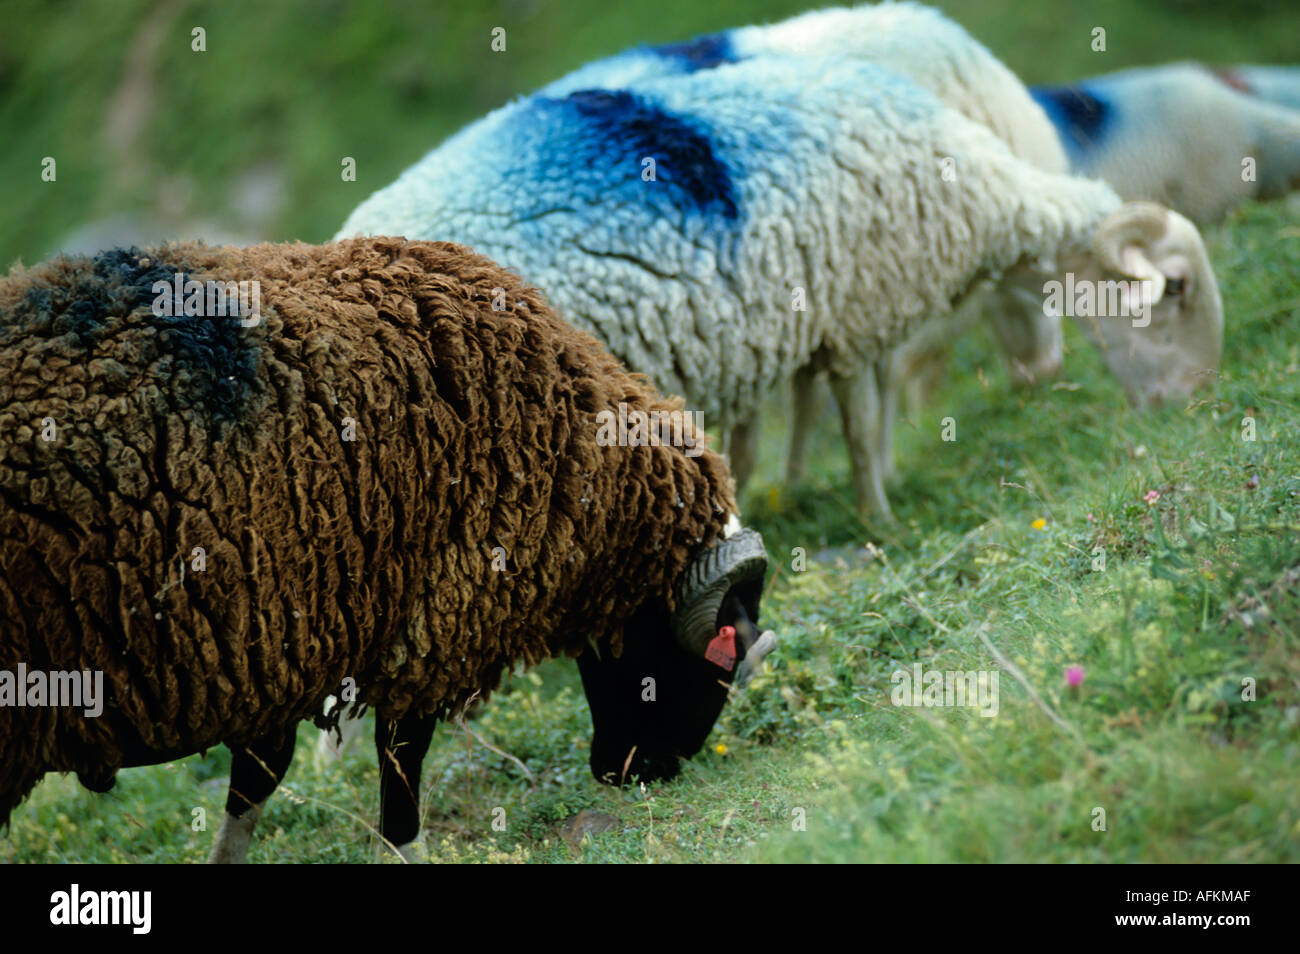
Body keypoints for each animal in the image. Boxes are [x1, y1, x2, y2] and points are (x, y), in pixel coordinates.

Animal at [0, 237, 779, 862]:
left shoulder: (274, 640)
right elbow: (399, 776)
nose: (647, 774)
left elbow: (258, 775)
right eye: (714, 662)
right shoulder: (429, 627)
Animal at [337, 39, 1222, 522]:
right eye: (1175, 290)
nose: (1193, 407)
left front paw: (803, 495)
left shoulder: (824, 322)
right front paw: (879, 516)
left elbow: (800, 422)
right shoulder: (861, 313)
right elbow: (859, 427)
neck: (986, 190)